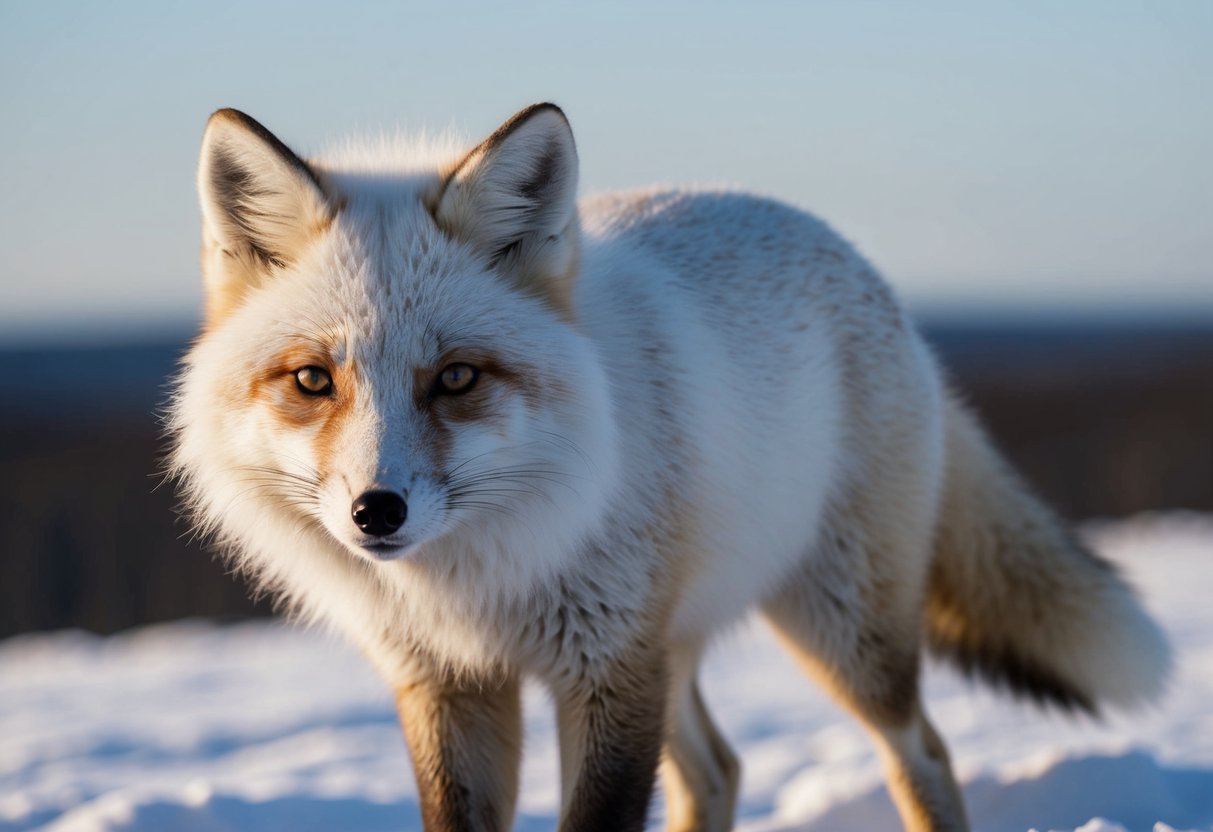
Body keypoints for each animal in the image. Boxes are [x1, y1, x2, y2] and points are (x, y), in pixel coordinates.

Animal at [169, 102, 1171, 832]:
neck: (480, 582)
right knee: (717, 771)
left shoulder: (606, 670)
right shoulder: (449, 685)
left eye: (455, 378)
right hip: (676, 646)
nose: (376, 511)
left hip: (837, 631)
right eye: (313, 379)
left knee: (920, 750)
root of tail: (860, 265)